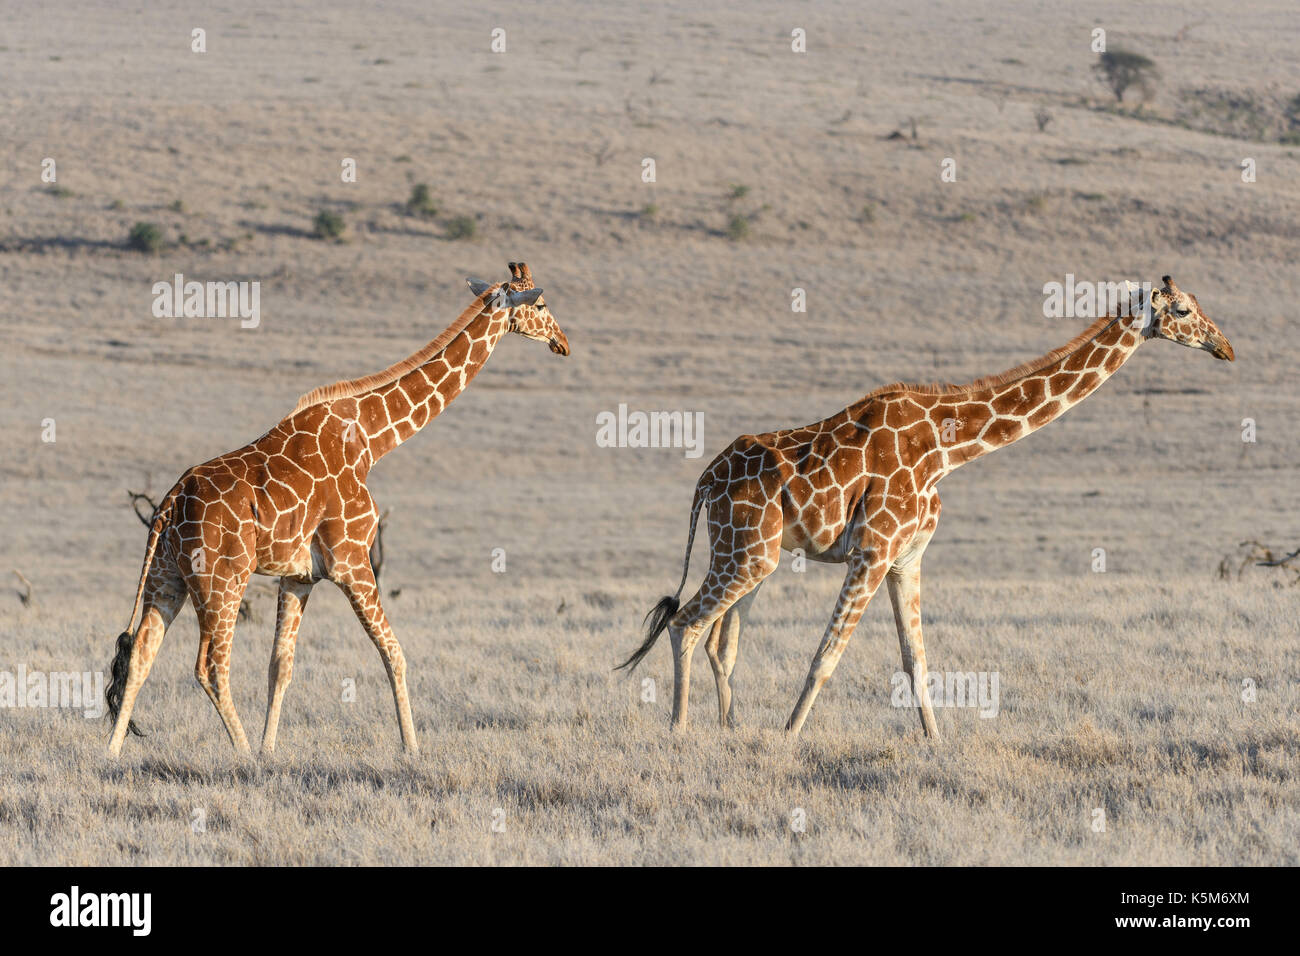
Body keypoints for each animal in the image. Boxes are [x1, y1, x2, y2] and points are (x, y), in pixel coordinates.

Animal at [106, 262, 569, 757]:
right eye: (541, 304)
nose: (563, 342)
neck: (371, 438)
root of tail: (170, 502)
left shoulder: (299, 576)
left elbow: (280, 666)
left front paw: (271, 753)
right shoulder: (351, 559)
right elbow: (394, 652)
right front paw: (412, 750)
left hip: (166, 577)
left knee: (141, 655)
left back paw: (111, 754)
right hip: (222, 579)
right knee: (209, 666)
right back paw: (241, 753)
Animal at [620, 276, 1233, 737]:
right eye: (1183, 310)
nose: (1225, 347)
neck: (946, 447)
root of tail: (704, 480)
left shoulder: (906, 558)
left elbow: (916, 660)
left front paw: (936, 743)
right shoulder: (871, 551)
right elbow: (827, 656)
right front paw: (787, 738)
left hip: (755, 556)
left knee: (721, 643)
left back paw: (729, 731)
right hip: (743, 555)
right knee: (686, 623)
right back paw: (679, 731)